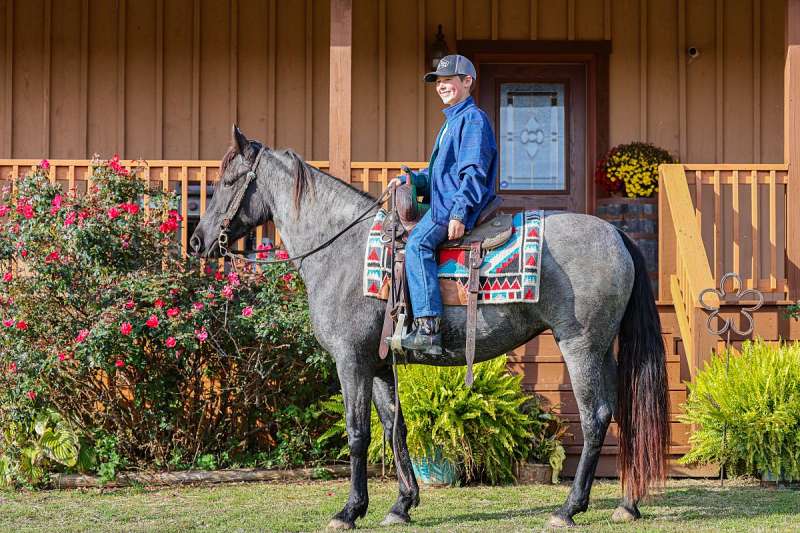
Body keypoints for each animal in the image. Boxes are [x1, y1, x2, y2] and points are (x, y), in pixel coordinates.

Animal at [190, 126, 670, 529]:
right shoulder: (378, 364)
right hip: (603, 348)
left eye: (228, 182)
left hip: (580, 346)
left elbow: (357, 433)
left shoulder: (351, 362)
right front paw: (401, 504)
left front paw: (349, 511)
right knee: (622, 413)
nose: (197, 241)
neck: (342, 249)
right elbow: (393, 428)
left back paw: (568, 508)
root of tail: (616, 235)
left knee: (595, 417)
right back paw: (627, 505)